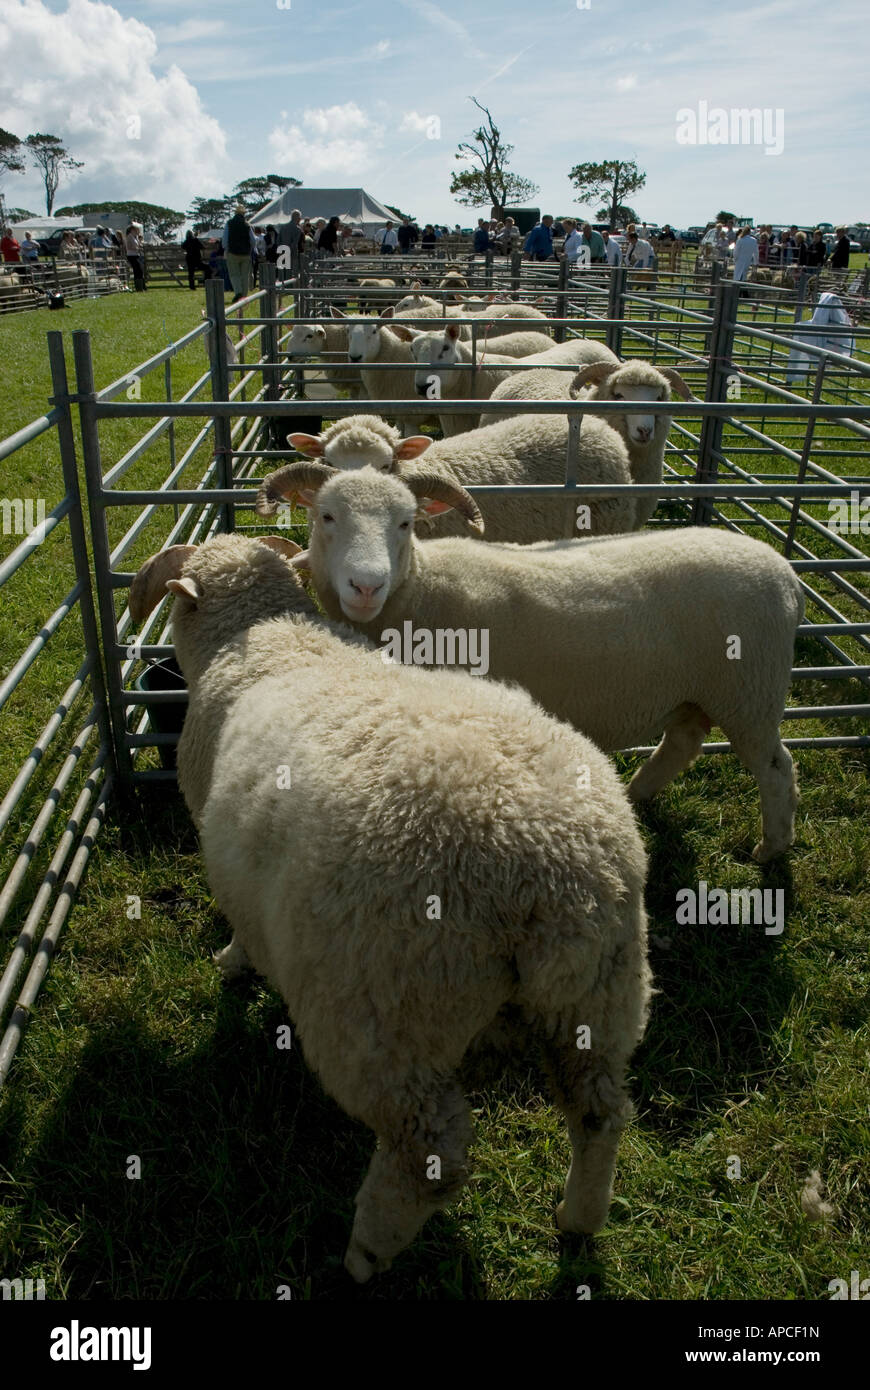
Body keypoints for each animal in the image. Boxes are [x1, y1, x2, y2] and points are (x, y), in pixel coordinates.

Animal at [128, 531, 652, 1281]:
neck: (269, 634)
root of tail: (547, 868)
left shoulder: (220, 847)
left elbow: (240, 928)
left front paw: (230, 963)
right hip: (600, 995)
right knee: (599, 1113)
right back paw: (578, 1217)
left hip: (386, 1013)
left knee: (429, 1152)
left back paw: (364, 1251)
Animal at [258, 465, 804, 862]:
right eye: (326, 517)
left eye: (405, 523)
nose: (367, 586)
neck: (421, 588)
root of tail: (786, 574)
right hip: (700, 691)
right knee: (682, 743)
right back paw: (638, 794)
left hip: (750, 691)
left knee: (776, 768)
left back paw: (771, 849)